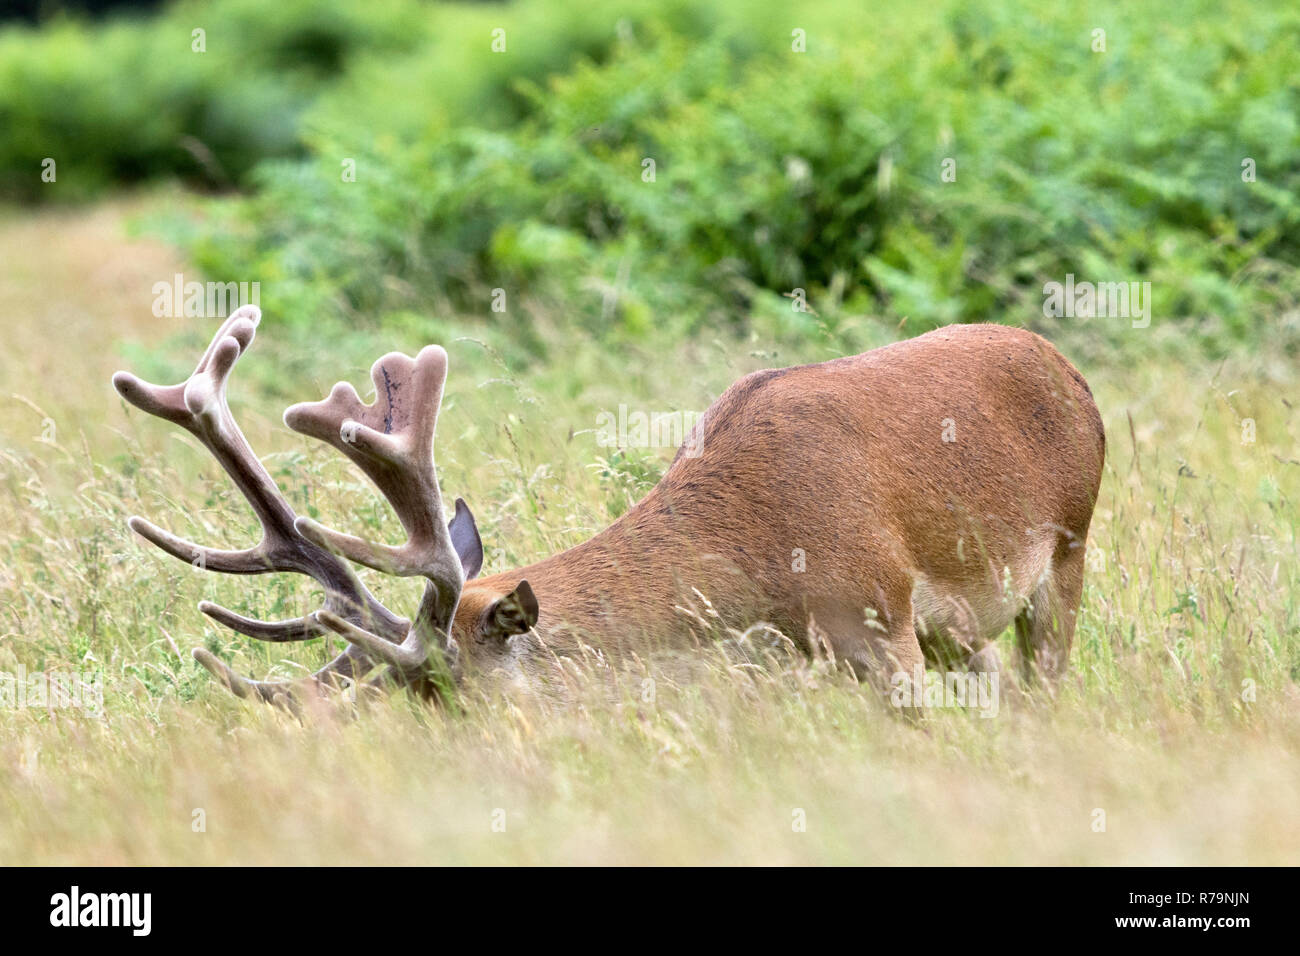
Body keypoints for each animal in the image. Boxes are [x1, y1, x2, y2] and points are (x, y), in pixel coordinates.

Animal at [113, 306, 1105, 710]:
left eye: (461, 697)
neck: (764, 558)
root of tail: (1066, 368)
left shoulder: (880, 615)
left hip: (1068, 545)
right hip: (968, 623)